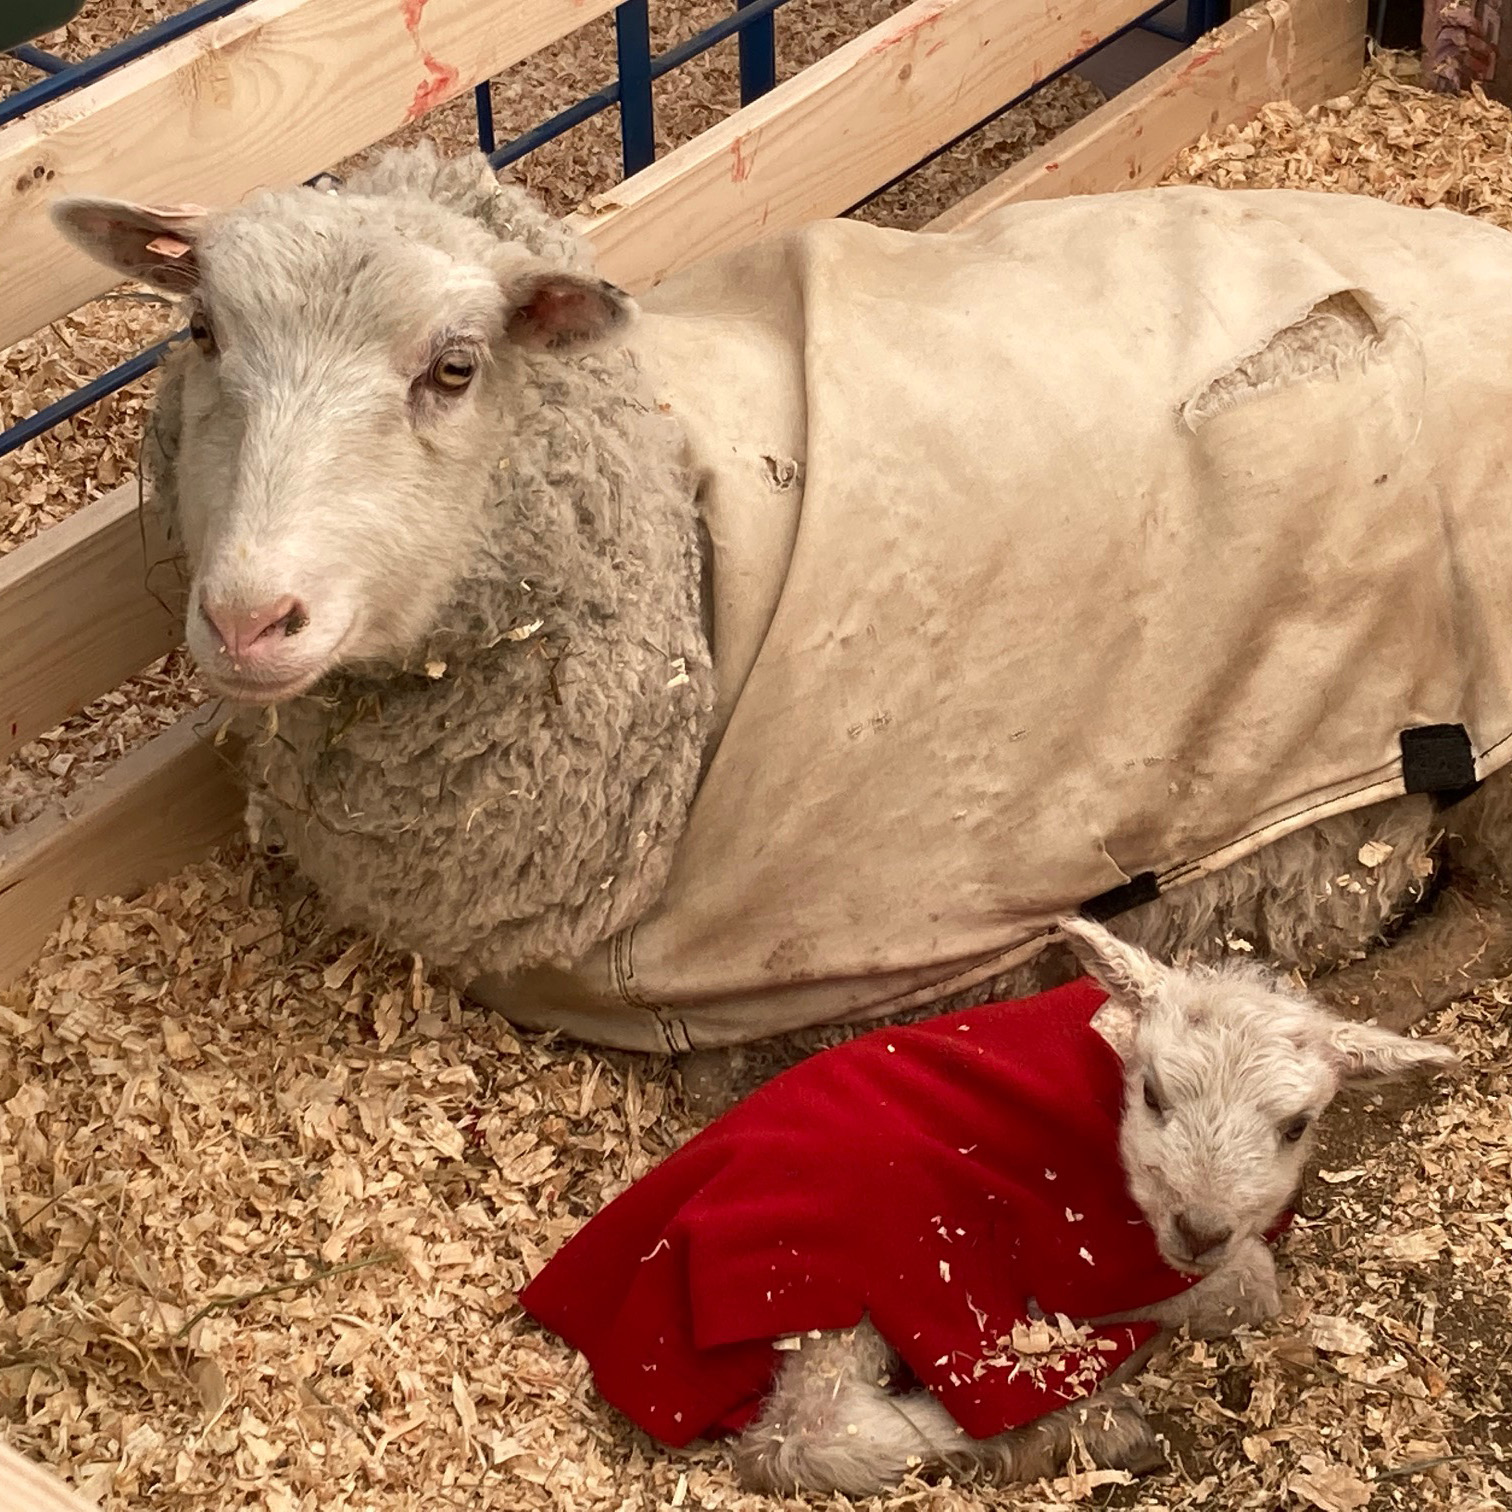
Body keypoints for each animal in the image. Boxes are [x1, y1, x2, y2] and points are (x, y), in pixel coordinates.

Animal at [722, 917, 1462, 1497]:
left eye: (1297, 1126)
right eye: (1154, 1095)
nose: (1200, 1229)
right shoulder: (1070, 1261)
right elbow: (1252, 1285)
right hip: (877, 1252)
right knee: (804, 1435)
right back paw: (1087, 1423)